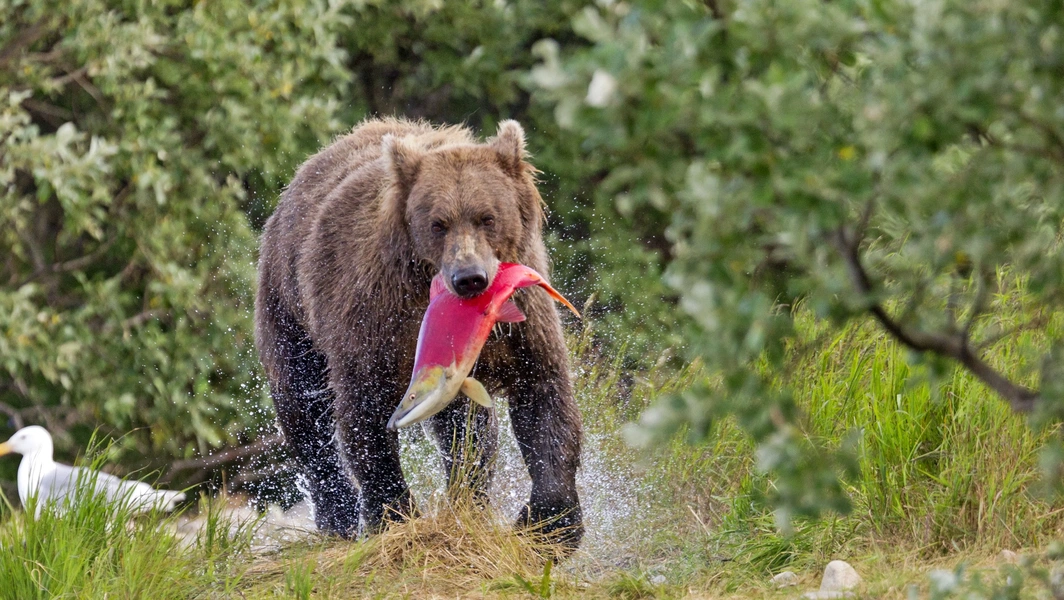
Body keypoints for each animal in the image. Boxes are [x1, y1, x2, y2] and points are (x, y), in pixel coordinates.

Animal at [254, 118, 584, 549]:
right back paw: (337, 517)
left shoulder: (520, 325)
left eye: (487, 217)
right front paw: (393, 516)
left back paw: (469, 499)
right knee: (303, 406)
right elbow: (365, 417)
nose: (469, 277)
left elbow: (543, 394)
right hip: (288, 305)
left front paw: (548, 524)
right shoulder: (373, 321)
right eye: (438, 223)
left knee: (468, 431)